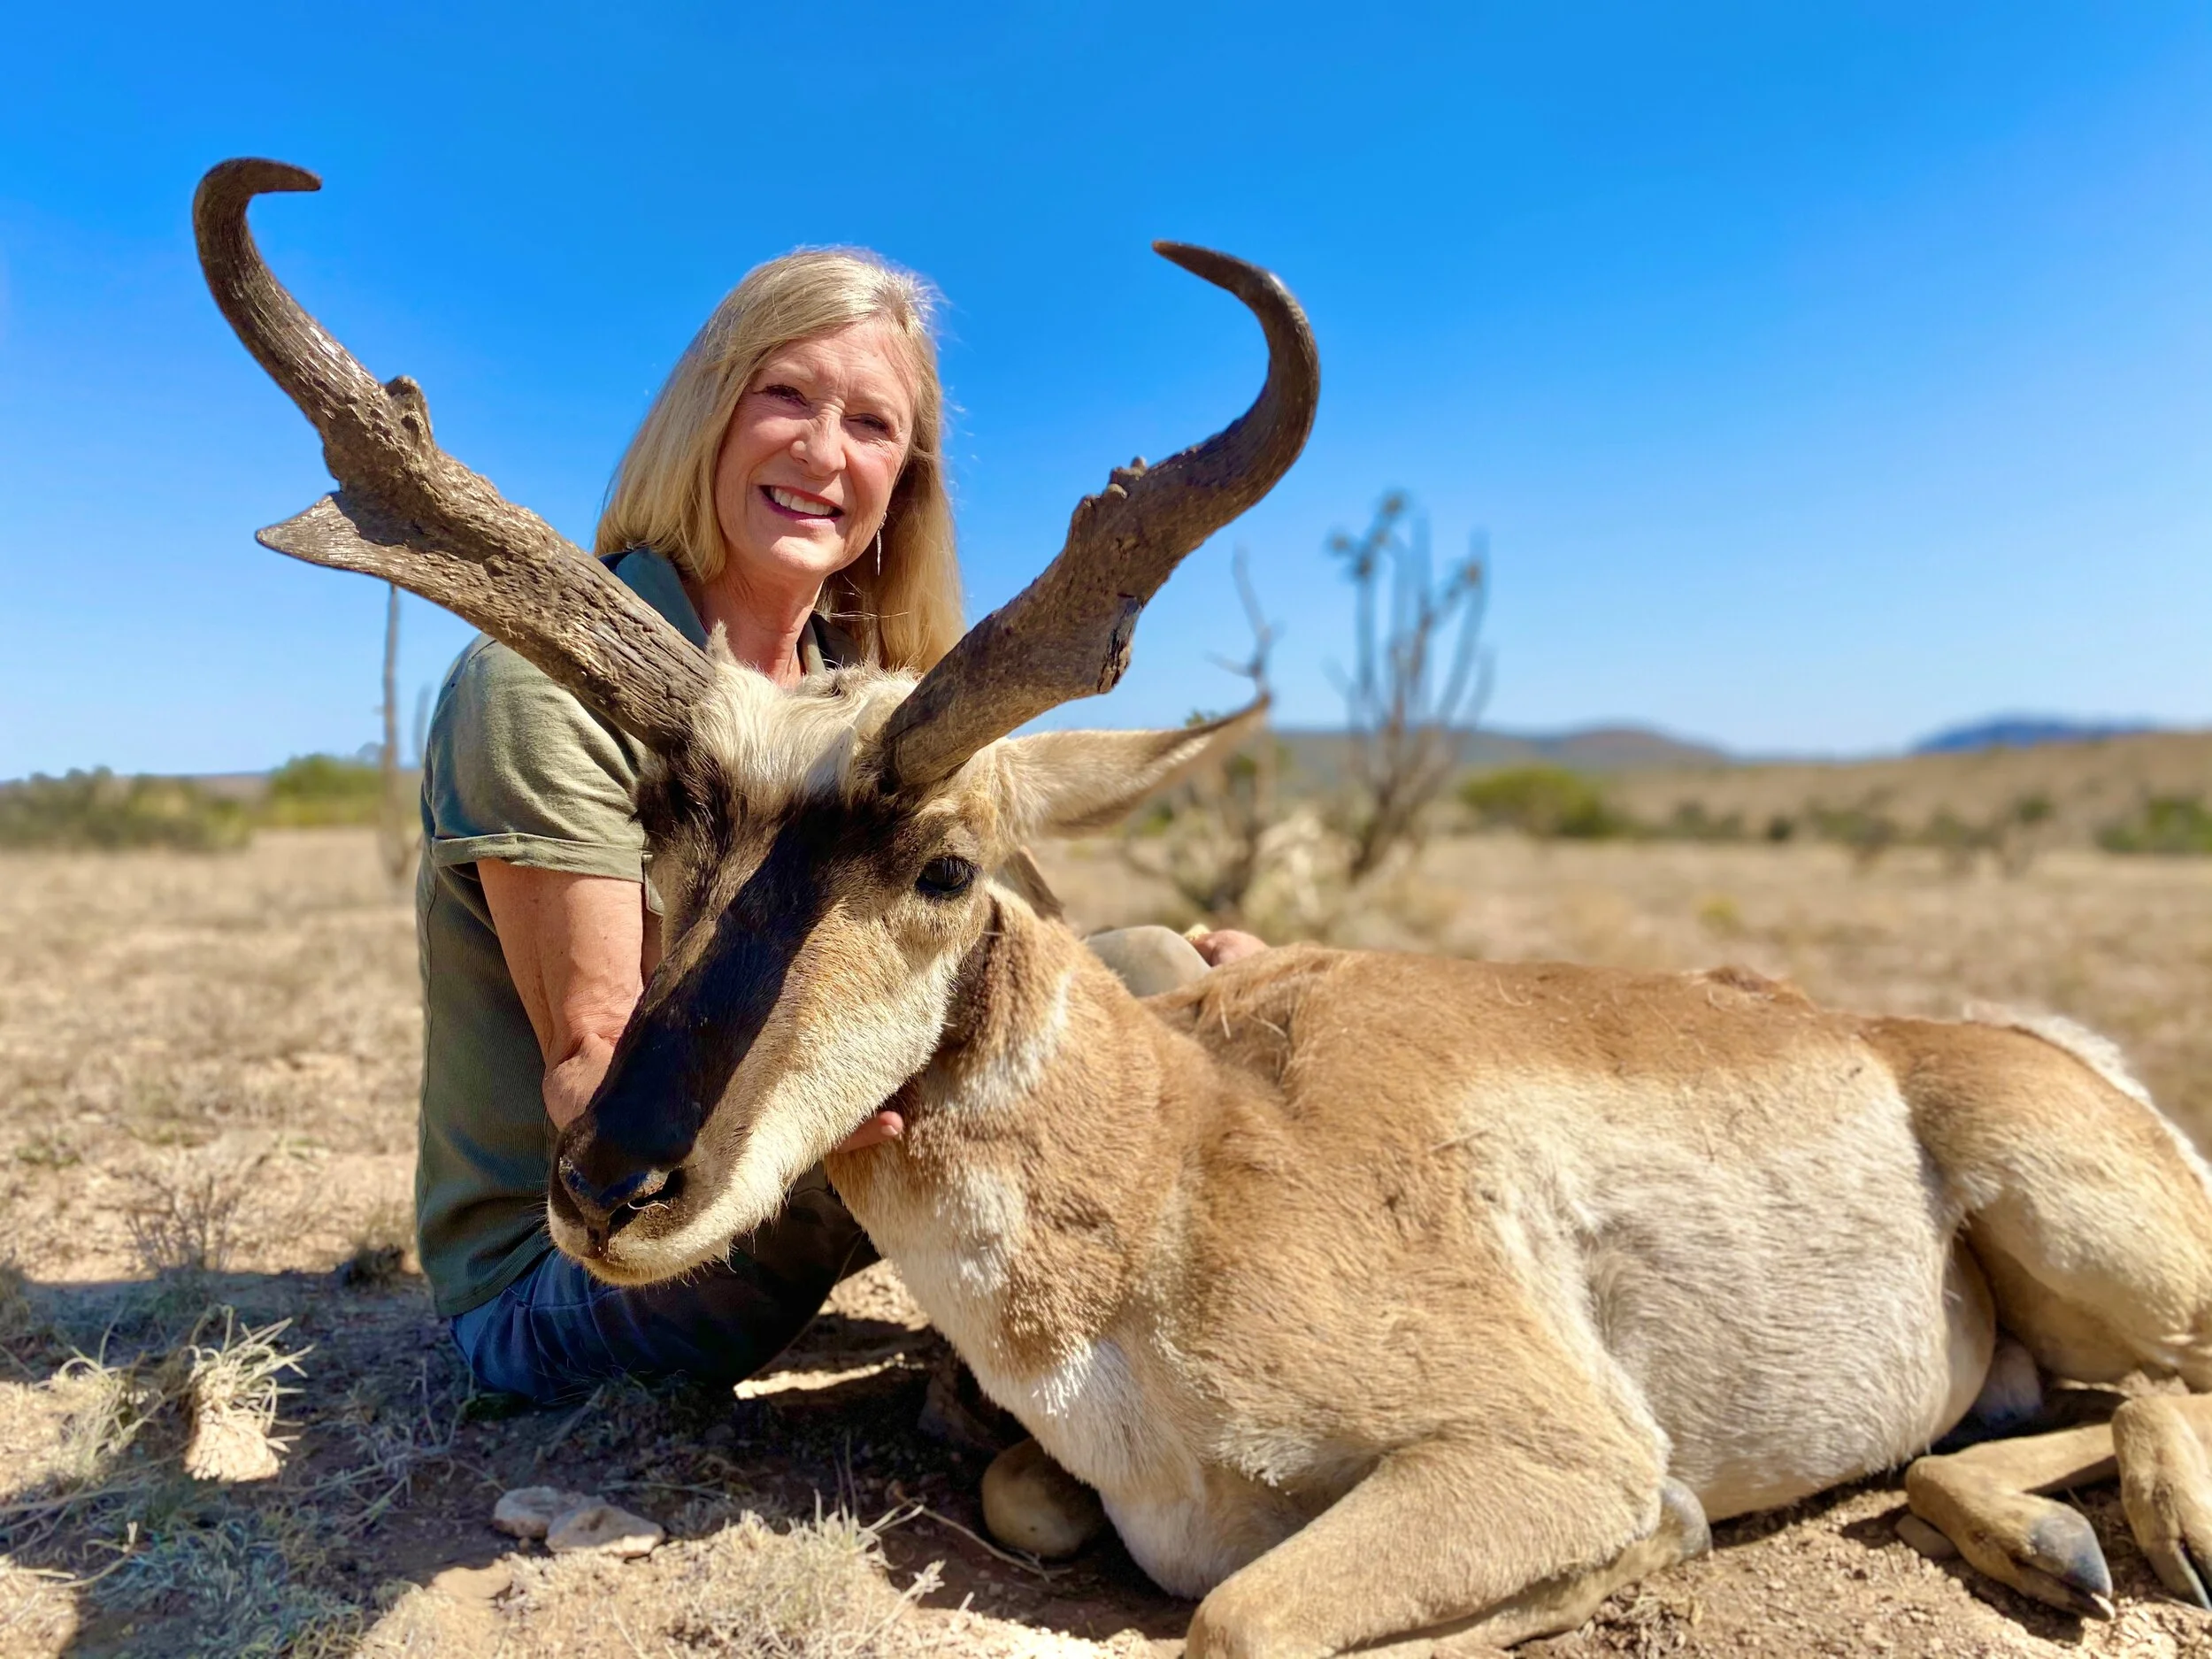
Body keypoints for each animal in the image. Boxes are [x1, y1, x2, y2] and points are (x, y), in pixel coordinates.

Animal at [199, 156, 2212, 1656]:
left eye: (945, 865)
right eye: (668, 824)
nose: (616, 1183)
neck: (1179, 1156)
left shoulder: (1536, 1453)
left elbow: (1247, 1611)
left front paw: (1647, 1555)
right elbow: (1029, 1492)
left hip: (2085, 1227)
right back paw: (2058, 1539)